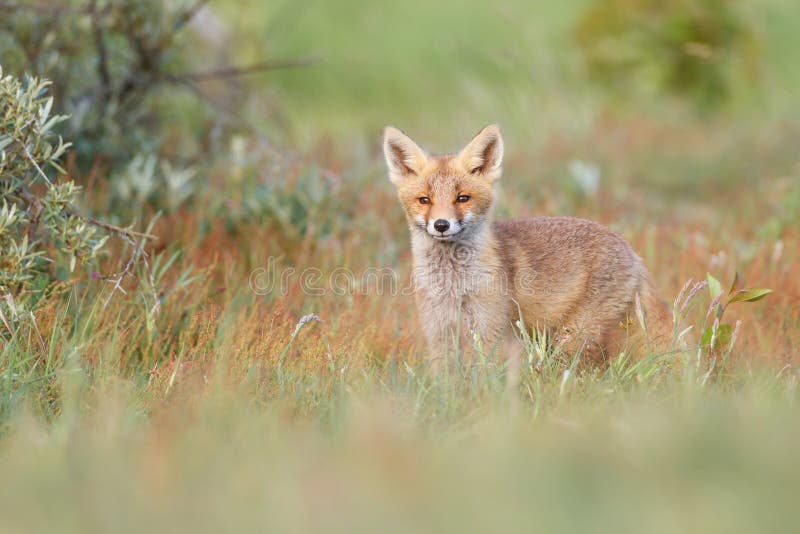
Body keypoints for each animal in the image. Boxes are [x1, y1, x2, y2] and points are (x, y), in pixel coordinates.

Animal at [383, 124, 673, 367]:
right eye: (424, 200)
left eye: (463, 198)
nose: (441, 224)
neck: (454, 286)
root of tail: (631, 250)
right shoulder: (439, 334)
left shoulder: (490, 332)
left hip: (574, 335)